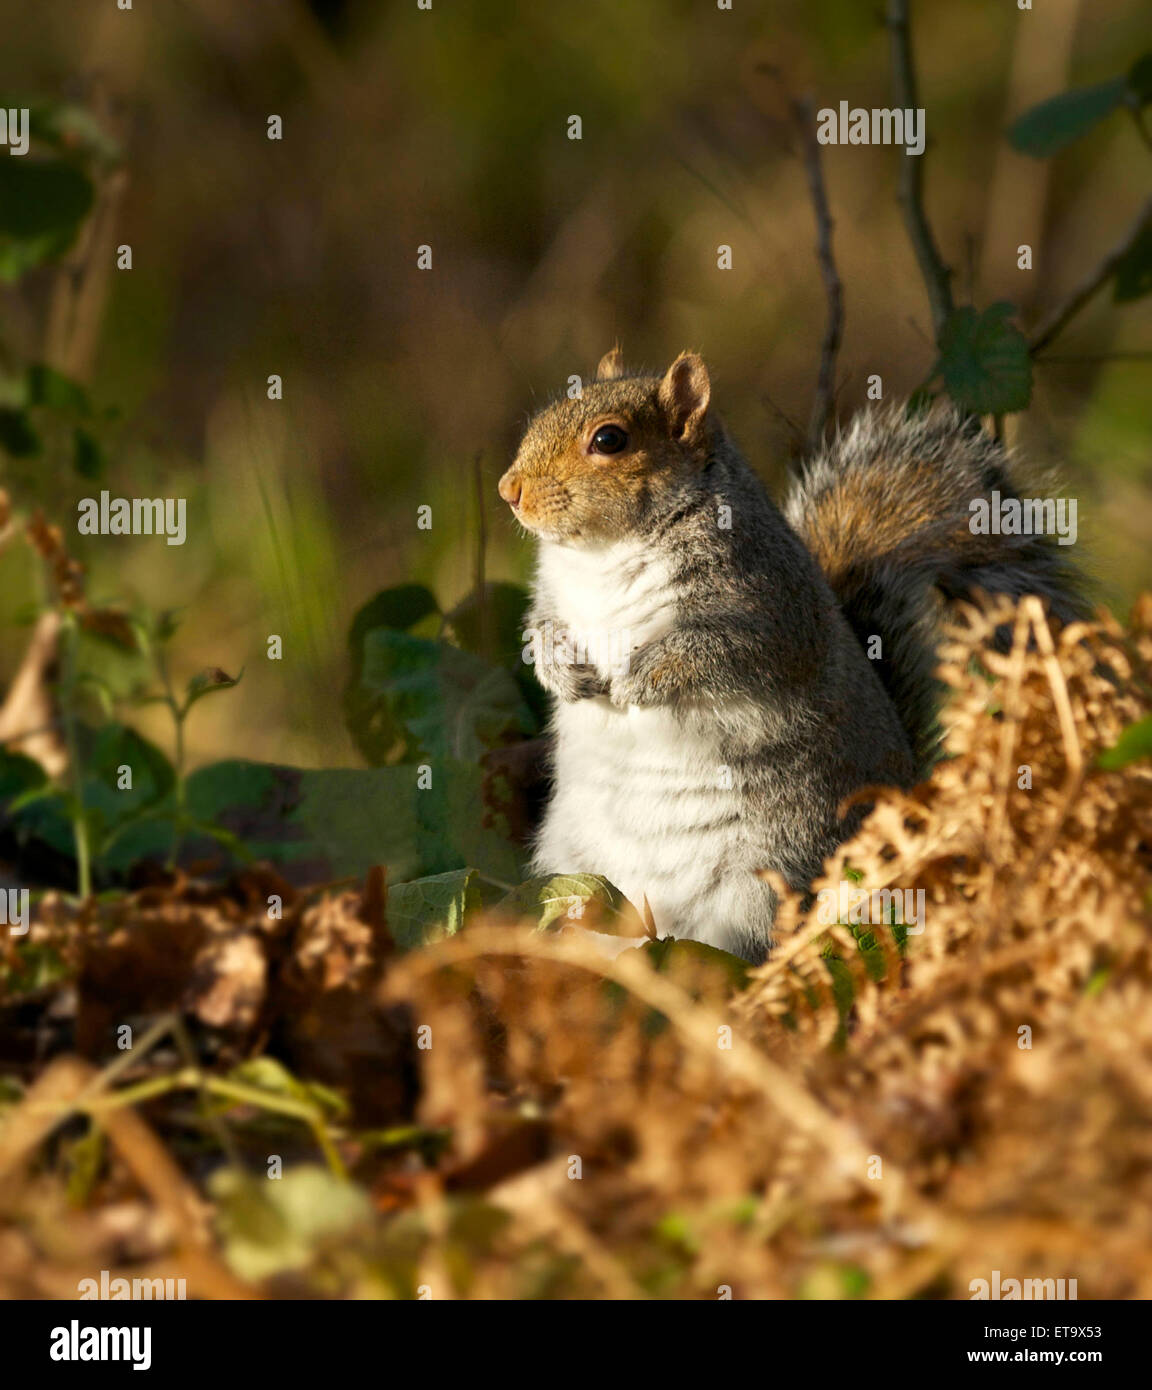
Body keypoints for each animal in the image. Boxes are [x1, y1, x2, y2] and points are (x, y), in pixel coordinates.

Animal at [497, 349, 1085, 963]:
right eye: (542, 417)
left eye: (609, 439)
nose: (508, 490)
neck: (603, 555)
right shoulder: (553, 597)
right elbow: (540, 628)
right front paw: (561, 669)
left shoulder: (769, 613)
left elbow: (712, 655)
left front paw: (641, 679)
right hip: (577, 873)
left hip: (762, 887)